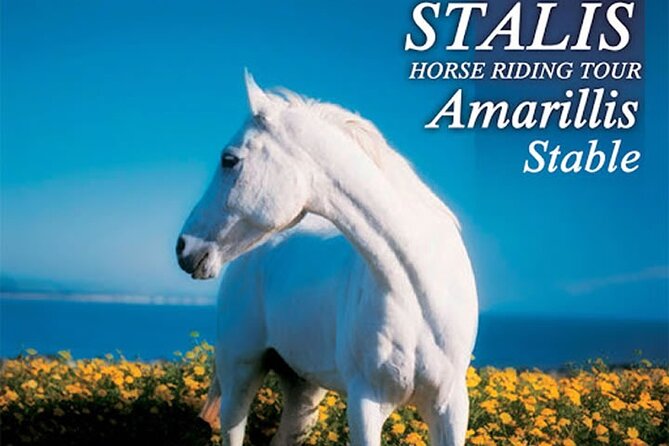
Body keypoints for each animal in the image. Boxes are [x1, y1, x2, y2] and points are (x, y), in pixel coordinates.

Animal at [176, 72, 478, 446]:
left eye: (229, 159)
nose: (185, 248)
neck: (418, 292)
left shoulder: (450, 406)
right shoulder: (366, 402)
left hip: (302, 388)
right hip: (240, 374)